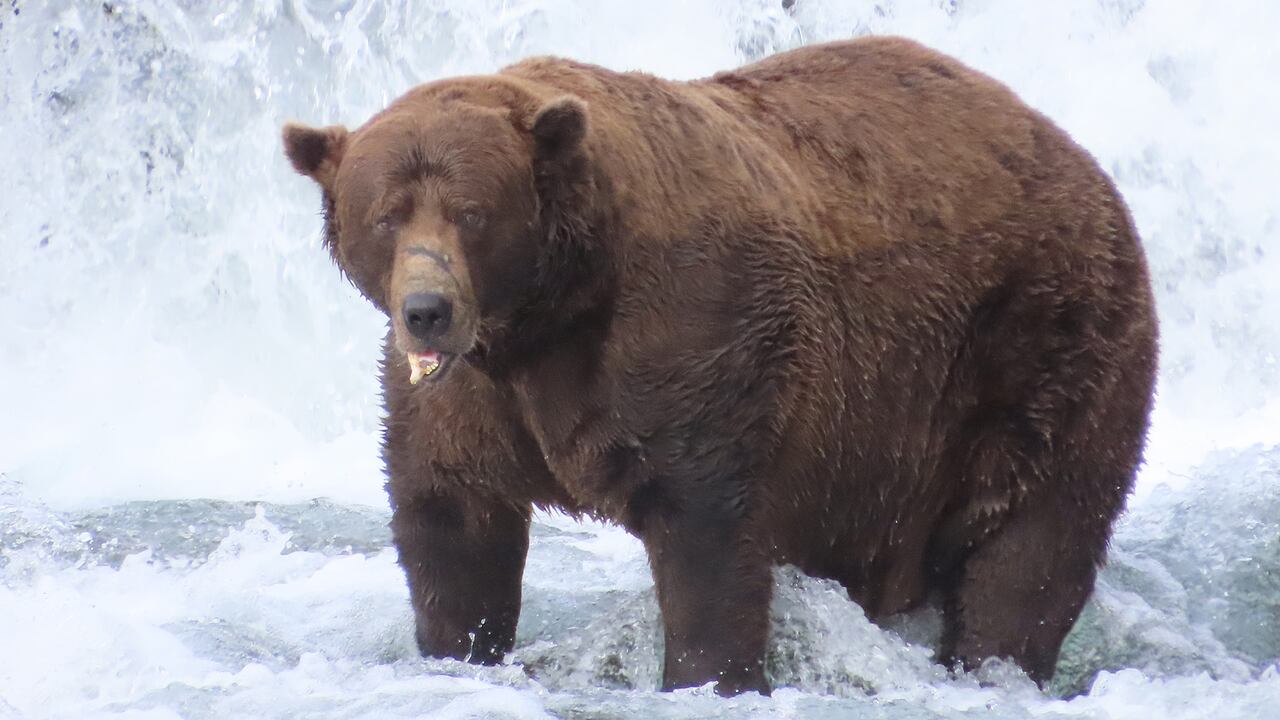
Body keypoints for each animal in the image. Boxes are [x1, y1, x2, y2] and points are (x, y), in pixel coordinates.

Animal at [282, 36, 1158, 696]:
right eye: (386, 215)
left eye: (472, 212)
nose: (427, 308)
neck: (548, 316)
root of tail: (1076, 154)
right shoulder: (468, 397)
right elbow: (452, 519)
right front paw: (461, 650)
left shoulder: (693, 336)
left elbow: (706, 532)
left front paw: (708, 675)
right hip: (885, 448)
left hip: (1041, 343)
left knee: (1033, 542)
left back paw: (994, 662)